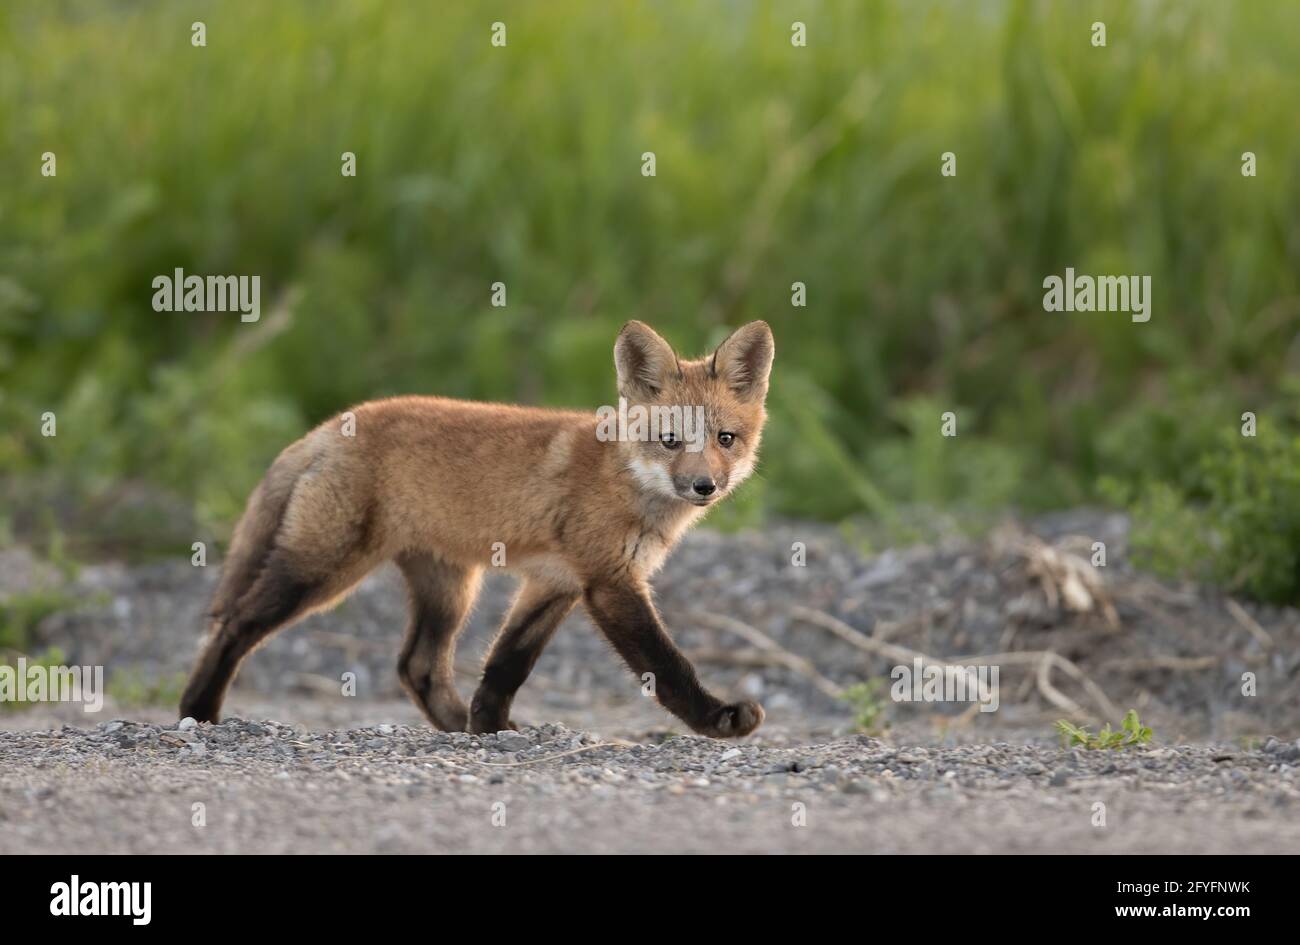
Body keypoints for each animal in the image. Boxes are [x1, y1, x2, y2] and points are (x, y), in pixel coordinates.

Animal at [179, 319, 774, 737]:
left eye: (724, 439)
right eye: (670, 440)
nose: (704, 486)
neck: (628, 484)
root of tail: (329, 427)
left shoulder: (555, 583)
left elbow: (506, 665)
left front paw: (488, 727)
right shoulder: (610, 583)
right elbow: (667, 665)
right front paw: (717, 719)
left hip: (450, 588)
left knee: (417, 666)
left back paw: (457, 727)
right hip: (322, 570)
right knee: (233, 624)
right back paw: (197, 712)